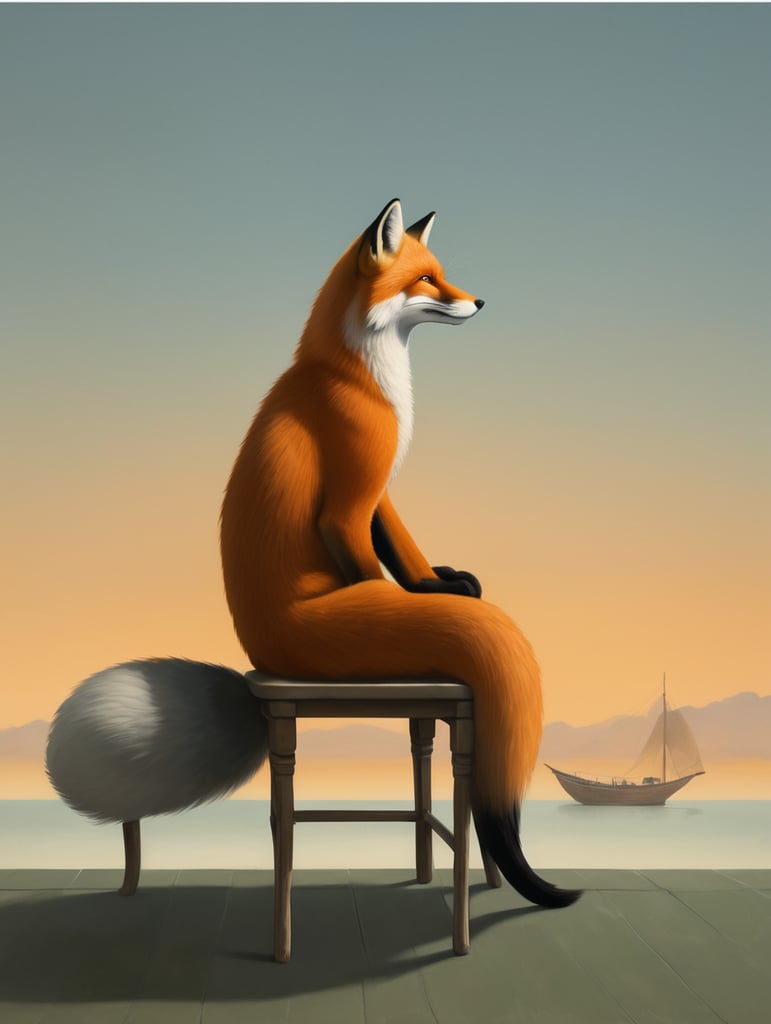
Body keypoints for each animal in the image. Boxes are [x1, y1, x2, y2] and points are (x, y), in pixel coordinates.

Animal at [46, 199, 580, 910]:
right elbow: (374, 565)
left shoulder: (380, 494)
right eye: (428, 279)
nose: (482, 301)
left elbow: (404, 551)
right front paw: (424, 596)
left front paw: (437, 582)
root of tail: (262, 662)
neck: (359, 375)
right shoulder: (348, 502)